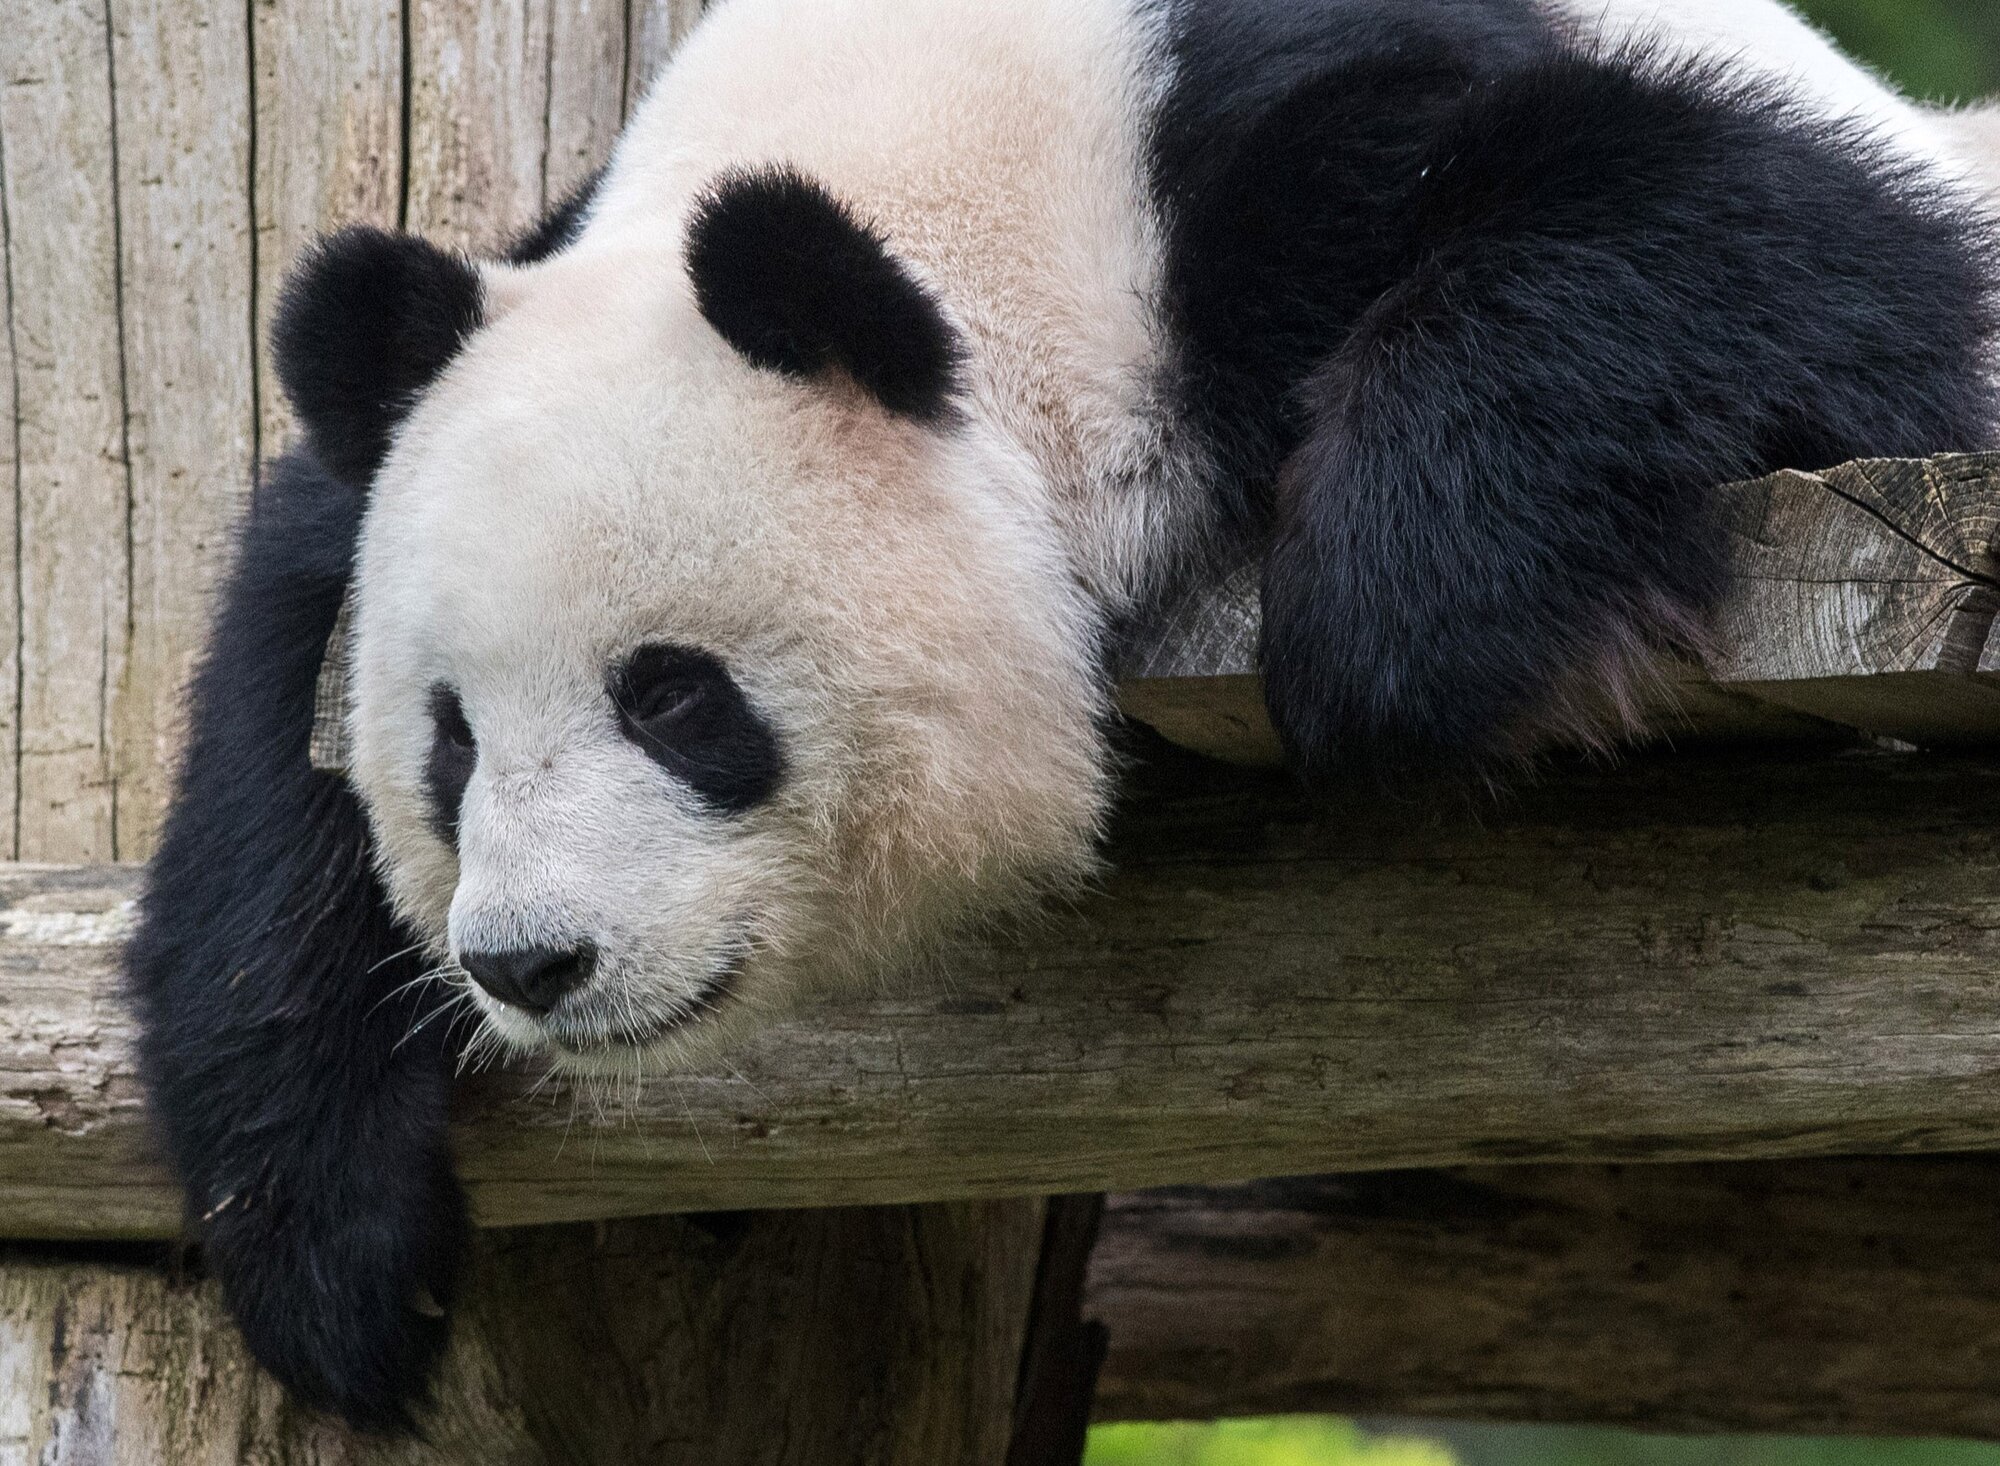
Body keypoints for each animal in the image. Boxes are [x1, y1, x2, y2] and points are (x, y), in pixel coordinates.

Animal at [126, 0, 1998, 1431]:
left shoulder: (1265, 177)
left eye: (672, 695)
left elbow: (1805, 259)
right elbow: (284, 636)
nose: (529, 959)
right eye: (447, 740)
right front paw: (322, 1240)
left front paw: (1396, 612)